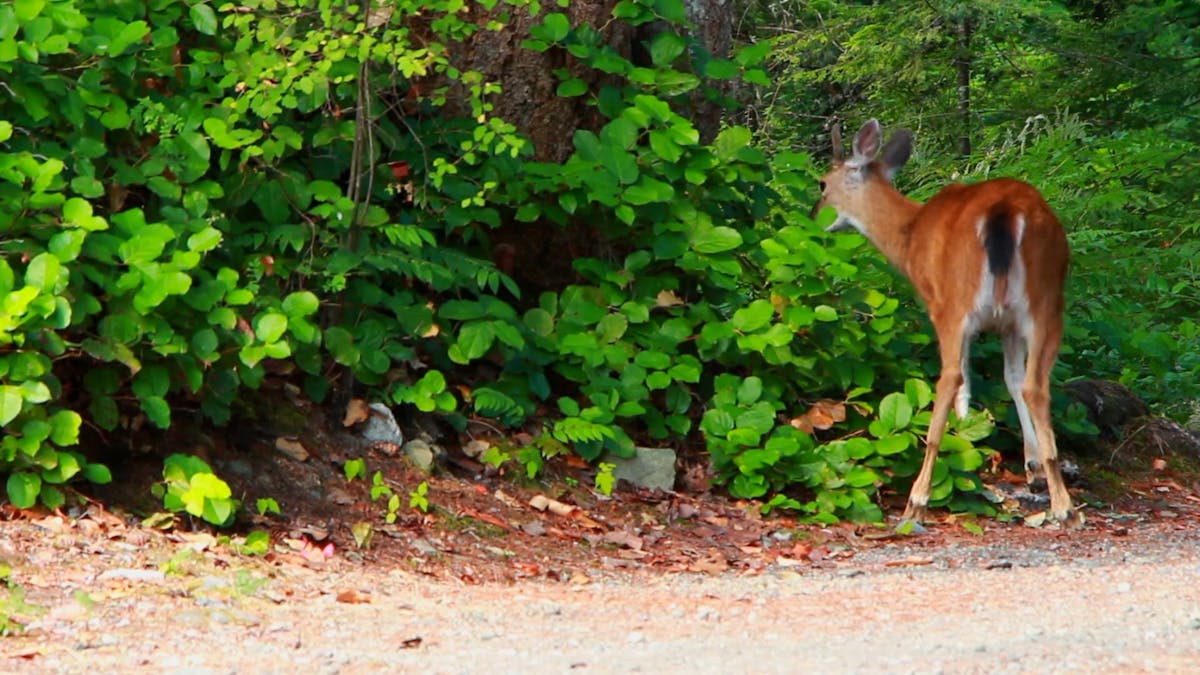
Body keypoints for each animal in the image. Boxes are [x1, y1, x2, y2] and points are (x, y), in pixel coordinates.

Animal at [812, 119, 1080, 528]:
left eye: (822, 184)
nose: (814, 218)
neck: (909, 235)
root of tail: (1005, 211)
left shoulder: (942, 308)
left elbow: (965, 388)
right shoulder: (1007, 325)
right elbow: (1012, 380)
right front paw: (1033, 466)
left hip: (958, 302)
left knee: (950, 378)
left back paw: (917, 499)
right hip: (1047, 300)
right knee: (1036, 384)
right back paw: (1063, 504)